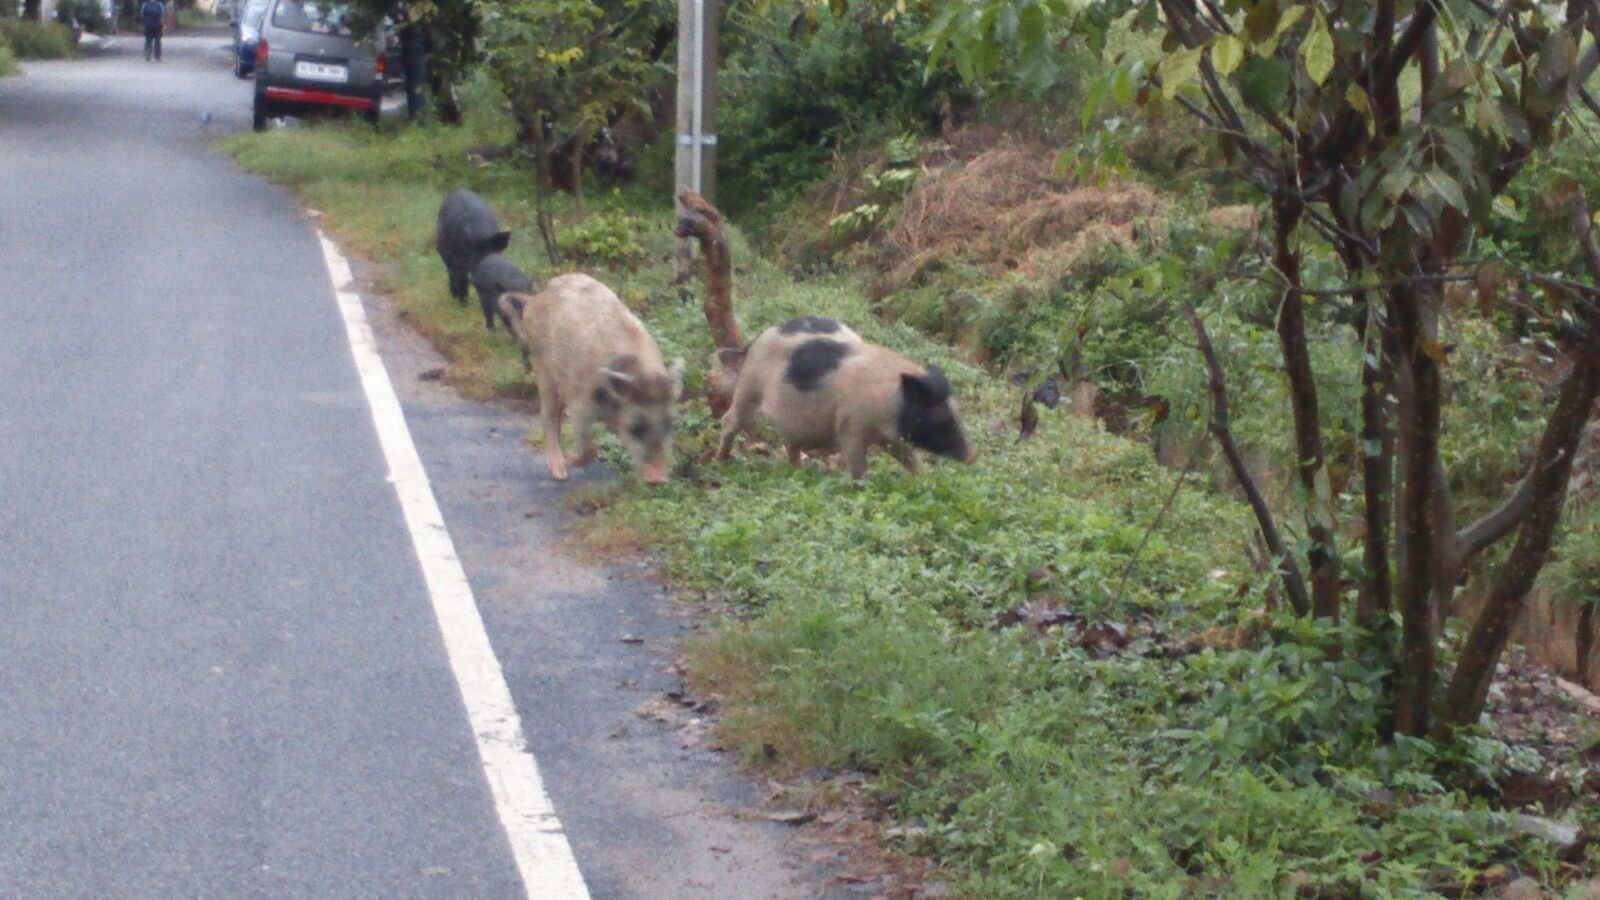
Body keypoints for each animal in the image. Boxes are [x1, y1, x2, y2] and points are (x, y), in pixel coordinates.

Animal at [498, 274, 681, 484]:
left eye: (669, 424)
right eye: (636, 427)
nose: (659, 478)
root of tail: (534, 299)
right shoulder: (579, 403)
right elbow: (588, 448)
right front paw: (571, 461)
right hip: (541, 365)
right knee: (547, 415)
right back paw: (559, 473)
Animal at [714, 321, 976, 478]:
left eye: (958, 413)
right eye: (940, 415)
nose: (973, 456)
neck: (891, 401)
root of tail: (752, 343)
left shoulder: (892, 440)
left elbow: (912, 461)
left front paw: (923, 480)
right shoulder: (850, 428)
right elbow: (859, 467)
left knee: (791, 444)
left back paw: (800, 472)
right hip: (749, 387)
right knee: (729, 420)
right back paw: (720, 460)